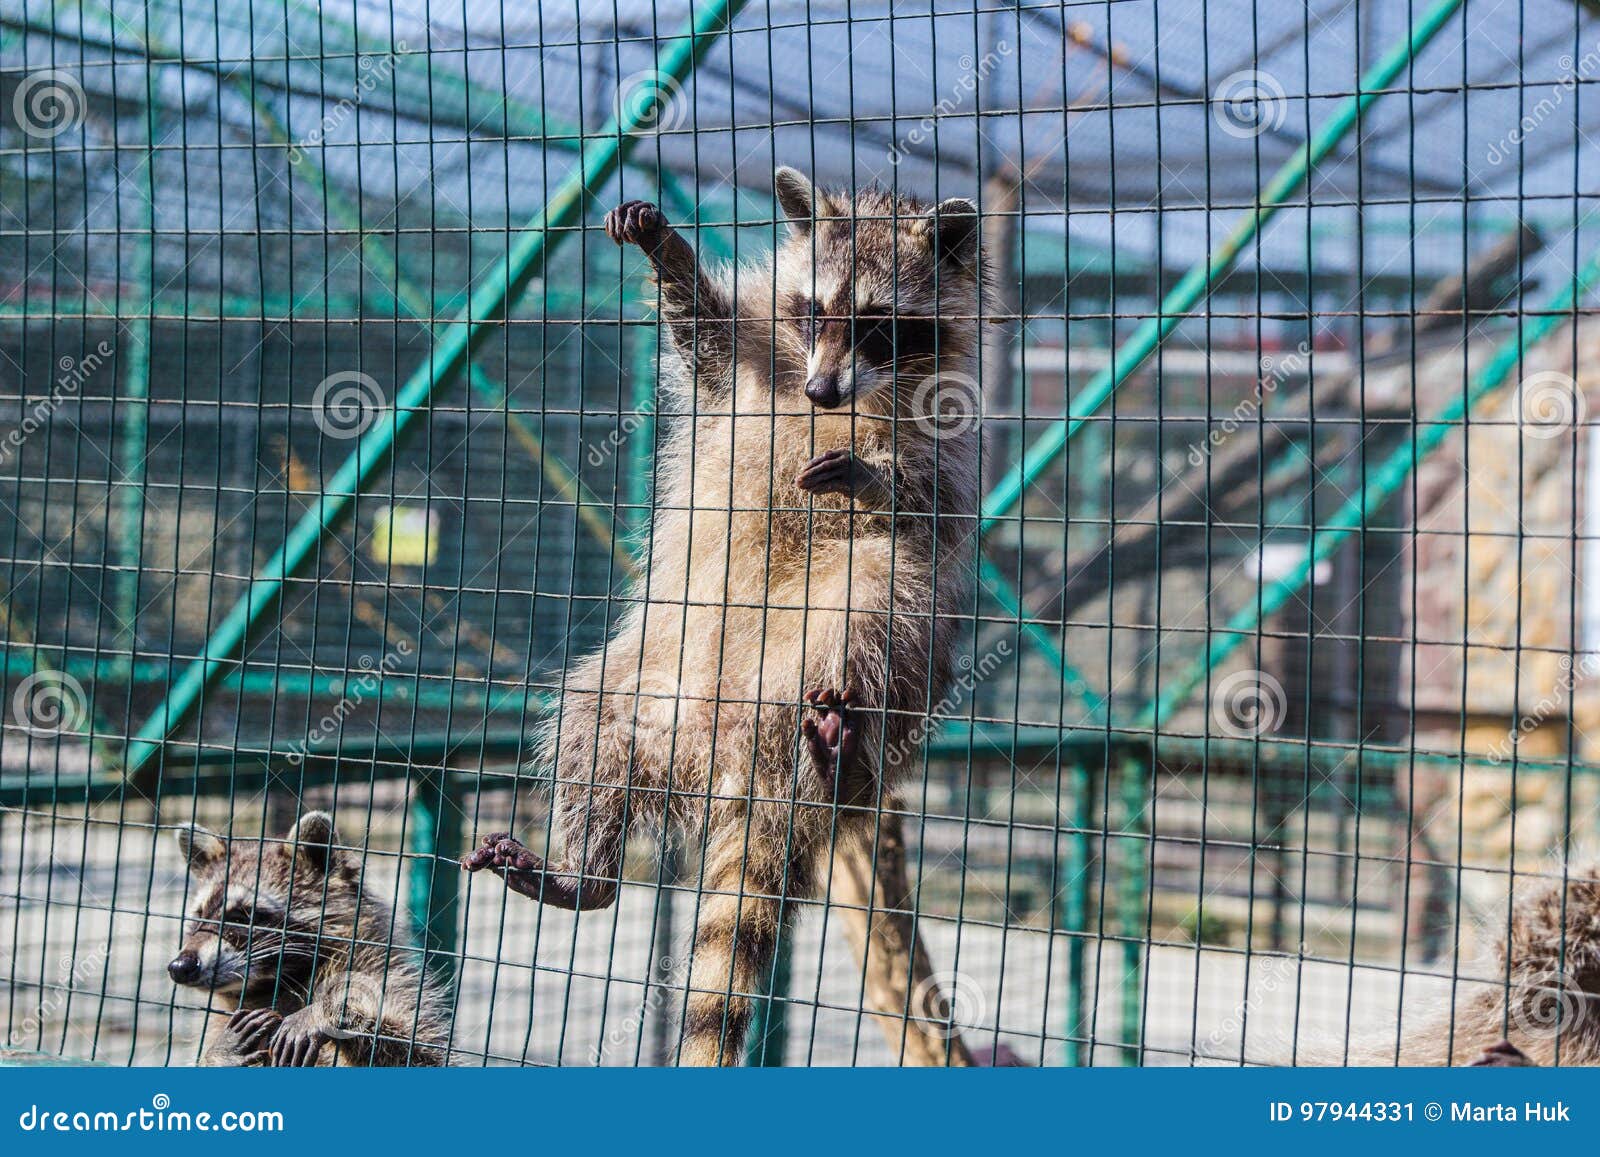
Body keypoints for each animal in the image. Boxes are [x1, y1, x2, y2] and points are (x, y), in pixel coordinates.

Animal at [168, 811, 450, 1067]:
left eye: (241, 916)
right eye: (200, 915)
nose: (179, 967)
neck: (277, 984)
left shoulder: (389, 980)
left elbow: (421, 1054)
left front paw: (325, 1012)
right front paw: (217, 1056)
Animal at [463, 168, 987, 1065]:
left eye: (877, 323)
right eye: (814, 310)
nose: (820, 391)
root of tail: (746, 759)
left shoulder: (950, 433)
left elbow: (936, 511)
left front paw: (874, 476)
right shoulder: (757, 367)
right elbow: (704, 338)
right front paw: (665, 246)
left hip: (854, 648)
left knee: (878, 597)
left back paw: (839, 757)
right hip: (657, 679)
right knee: (590, 716)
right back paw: (584, 873)